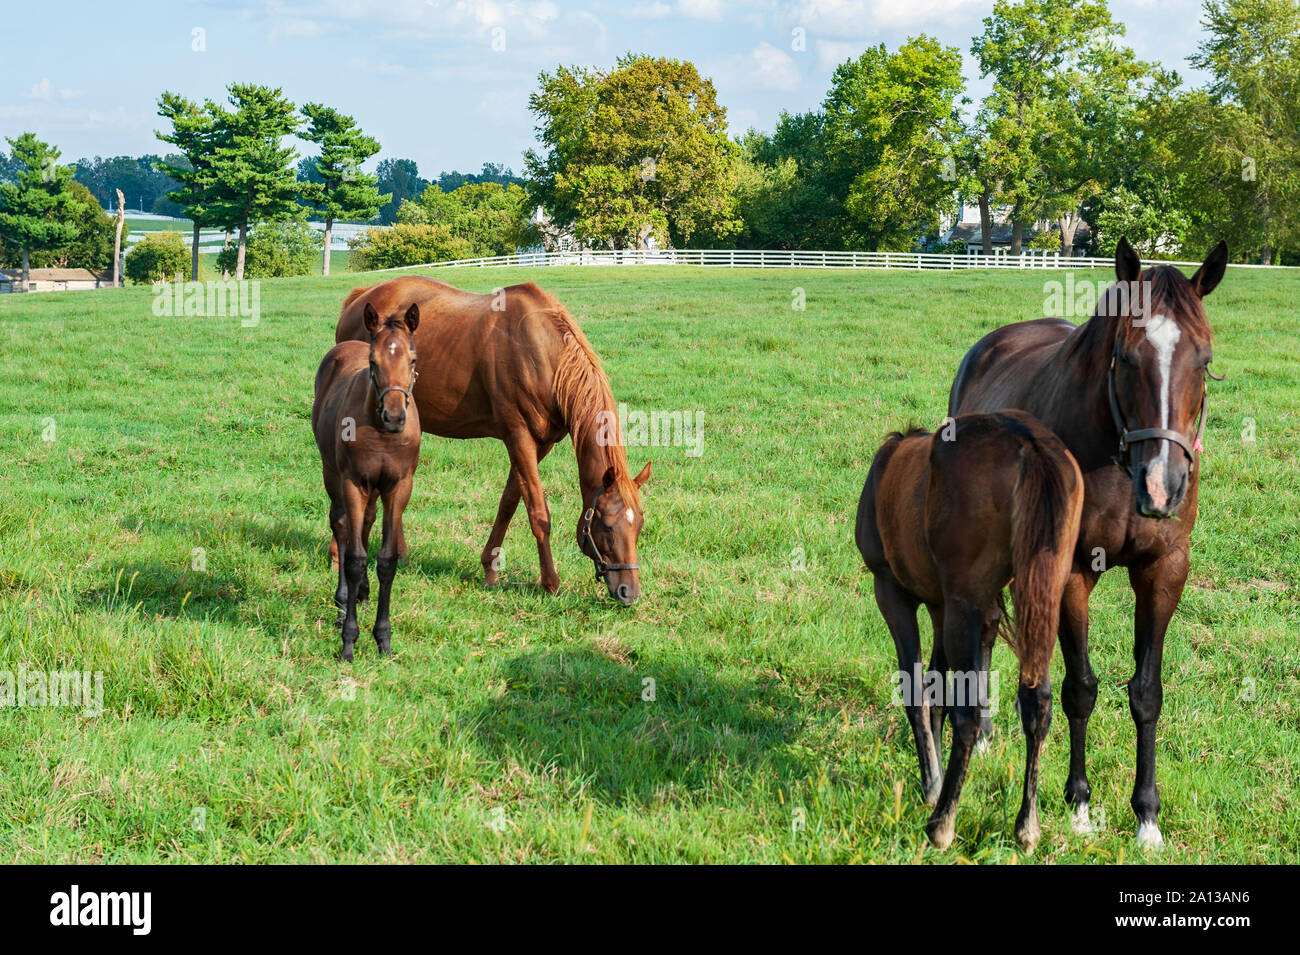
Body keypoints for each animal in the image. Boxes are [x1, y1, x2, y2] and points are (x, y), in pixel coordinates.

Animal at [313, 300, 422, 662]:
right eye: (374, 362)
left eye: (412, 360)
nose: (394, 417)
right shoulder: (353, 482)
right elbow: (356, 558)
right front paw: (348, 641)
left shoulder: (399, 486)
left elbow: (386, 560)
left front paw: (383, 640)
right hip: (332, 474)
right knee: (341, 526)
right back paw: (344, 598)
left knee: (366, 522)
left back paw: (361, 592)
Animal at [335, 276, 650, 605]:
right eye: (607, 525)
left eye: (639, 525)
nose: (629, 592)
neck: (540, 353)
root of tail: (360, 298)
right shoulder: (518, 436)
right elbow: (538, 513)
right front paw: (550, 583)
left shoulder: (540, 444)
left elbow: (509, 503)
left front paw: (490, 570)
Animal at [856, 410, 1084, 851]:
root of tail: (1029, 443)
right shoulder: (954, 610)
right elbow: (937, 688)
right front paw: (934, 771)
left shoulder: (894, 593)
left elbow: (918, 690)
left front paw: (932, 785)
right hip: (1043, 595)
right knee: (1039, 704)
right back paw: (1026, 827)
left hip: (959, 608)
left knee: (970, 716)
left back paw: (942, 824)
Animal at [947, 238, 1228, 848]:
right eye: (1126, 357)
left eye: (1205, 361)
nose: (1163, 485)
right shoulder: (1072, 569)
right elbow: (1080, 687)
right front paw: (1078, 805)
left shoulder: (1164, 570)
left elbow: (1146, 692)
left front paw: (1147, 817)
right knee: (985, 622)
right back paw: (983, 731)